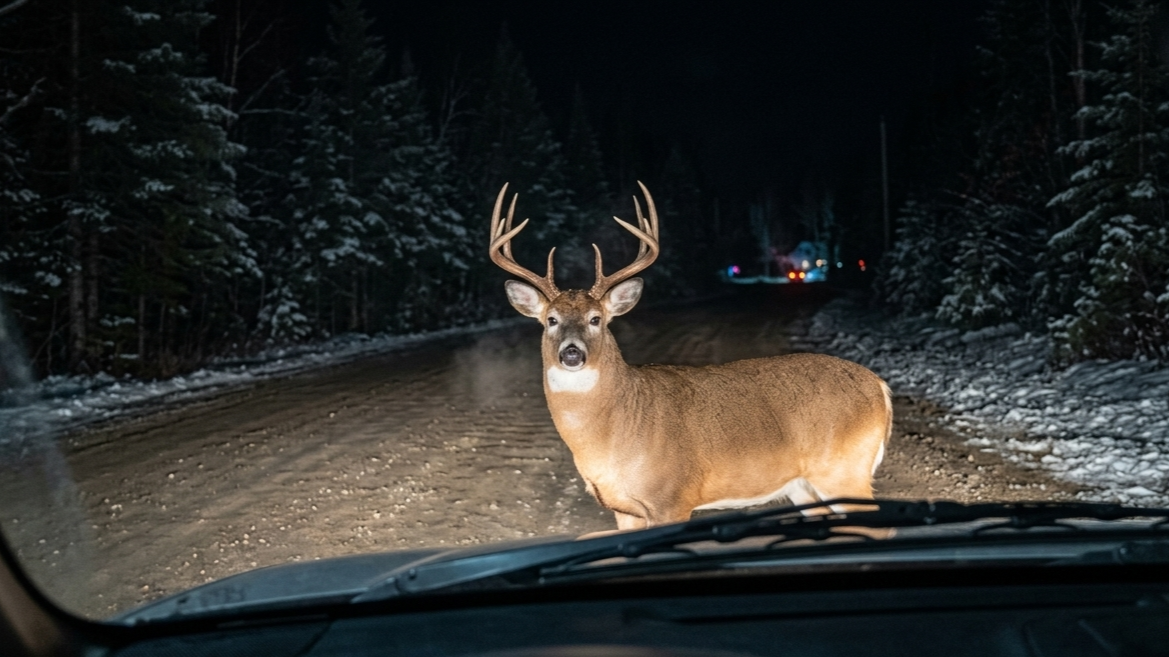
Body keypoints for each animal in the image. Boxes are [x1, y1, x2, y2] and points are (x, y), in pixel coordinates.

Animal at [489, 182, 892, 531]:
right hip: (804, 486)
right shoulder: (624, 510)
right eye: (551, 320)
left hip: (843, 471)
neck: (613, 432)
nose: (572, 353)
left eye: (596, 319)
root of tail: (880, 387)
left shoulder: (672, 497)